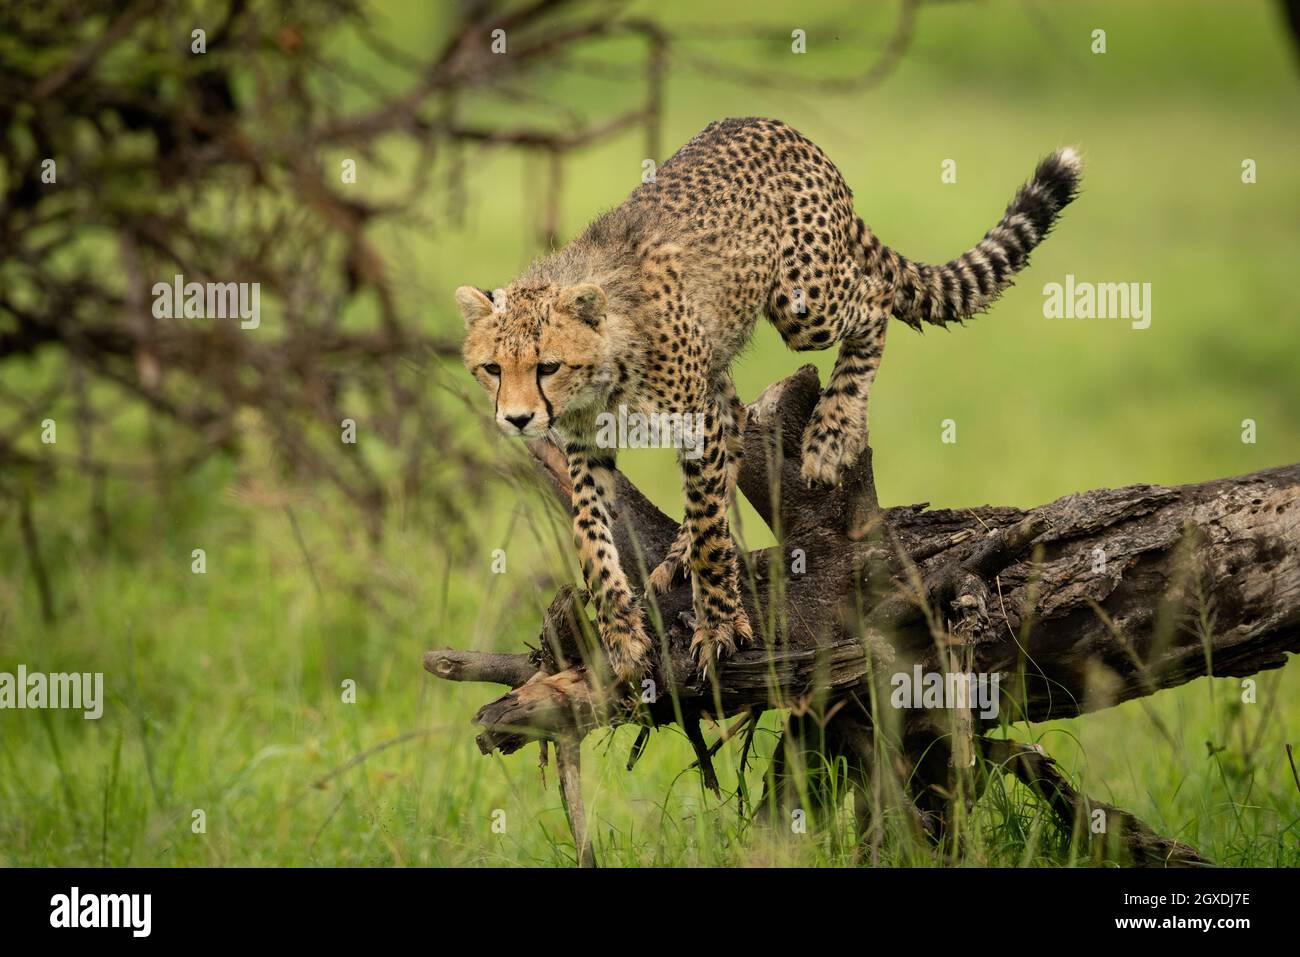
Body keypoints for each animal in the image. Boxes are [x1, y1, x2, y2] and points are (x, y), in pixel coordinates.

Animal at [458, 117, 1082, 686]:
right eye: (493, 369)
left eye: (547, 366)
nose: (517, 419)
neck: (608, 360)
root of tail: (775, 125)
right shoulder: (588, 448)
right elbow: (591, 536)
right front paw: (624, 636)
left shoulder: (693, 422)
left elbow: (712, 532)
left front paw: (719, 628)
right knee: (737, 421)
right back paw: (679, 552)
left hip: (805, 302)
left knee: (874, 300)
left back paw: (832, 430)